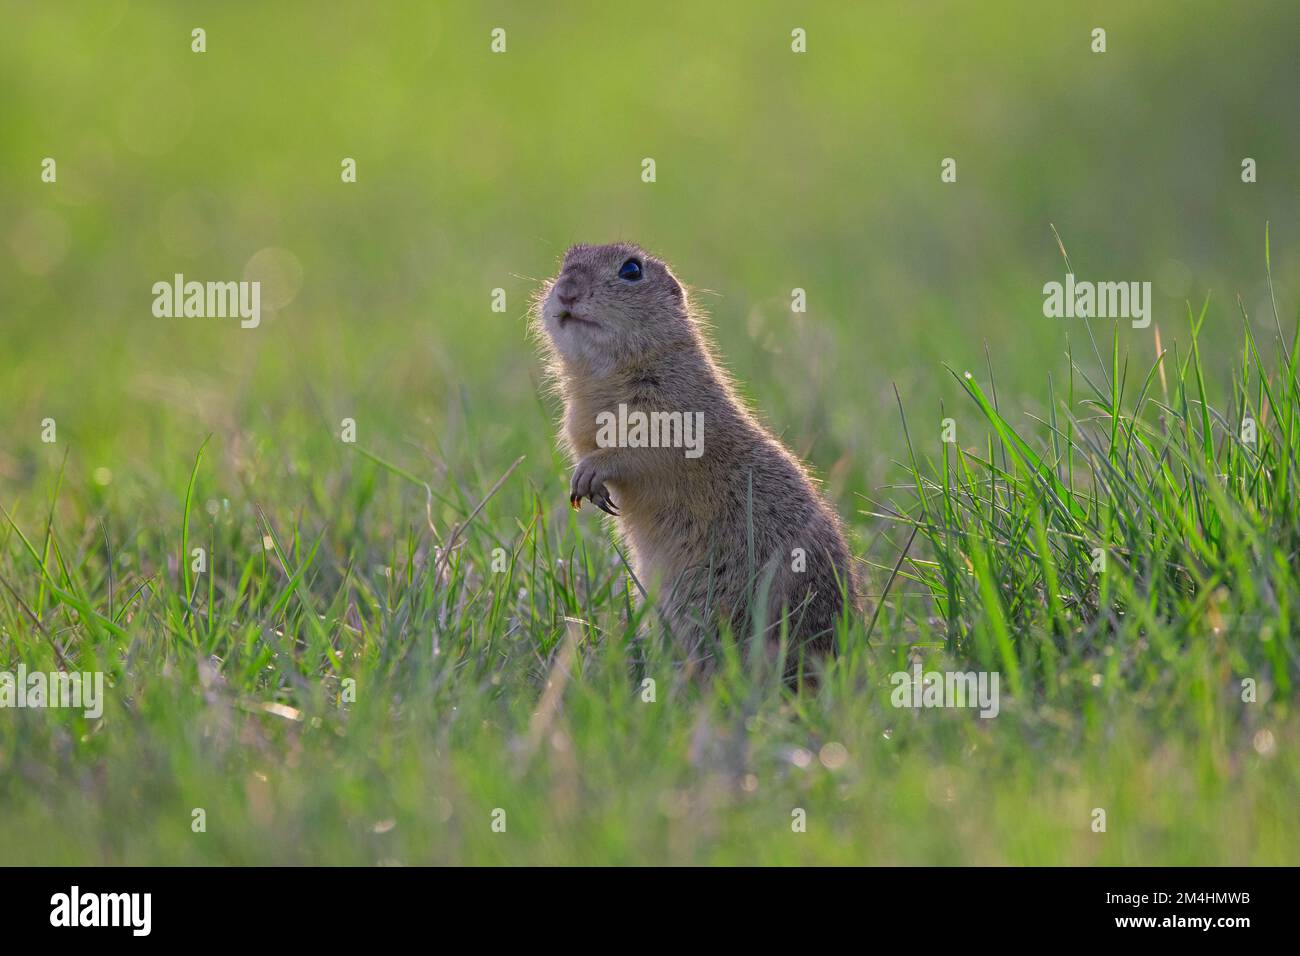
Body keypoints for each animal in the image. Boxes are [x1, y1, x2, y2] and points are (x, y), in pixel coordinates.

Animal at [535, 242, 858, 673]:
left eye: (632, 270)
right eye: (564, 264)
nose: (566, 292)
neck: (604, 376)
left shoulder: (674, 414)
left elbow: (642, 451)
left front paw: (593, 472)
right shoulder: (578, 423)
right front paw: (586, 481)